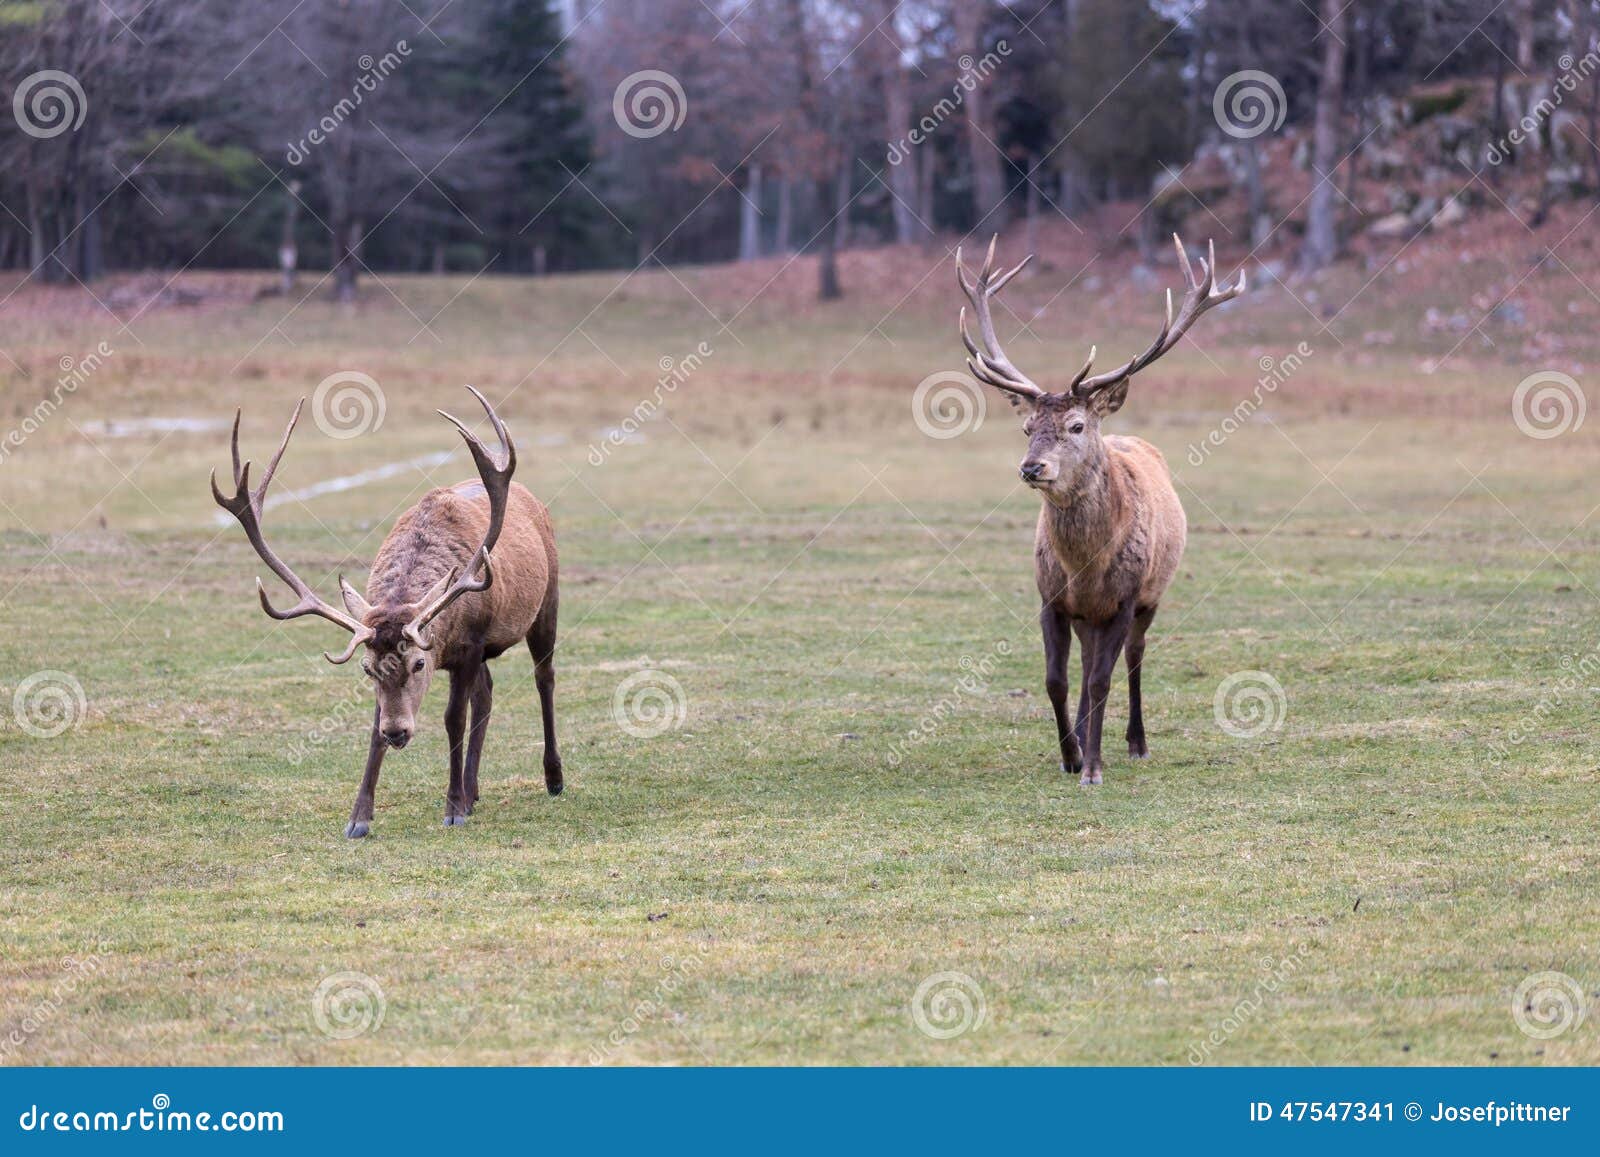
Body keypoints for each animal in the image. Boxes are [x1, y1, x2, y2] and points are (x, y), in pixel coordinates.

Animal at [211, 386, 562, 837]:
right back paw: (474, 790)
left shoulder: (470, 643)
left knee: (543, 677)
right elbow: (372, 730)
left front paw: (453, 809)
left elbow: (453, 718)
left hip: (547, 602)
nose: (398, 731)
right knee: (486, 694)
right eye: (366, 669)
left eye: (418, 663)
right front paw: (359, 817)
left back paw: (552, 778)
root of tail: (529, 496)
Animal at [955, 234, 1244, 786]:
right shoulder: (1050, 598)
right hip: (1087, 617)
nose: (1032, 467)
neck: (1084, 567)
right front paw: (1070, 756)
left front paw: (1091, 768)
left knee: (1131, 660)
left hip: (1150, 597)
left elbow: (1101, 683)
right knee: (1089, 665)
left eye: (1075, 425)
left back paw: (1133, 743)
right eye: (1027, 428)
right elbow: (1058, 681)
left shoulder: (1124, 599)